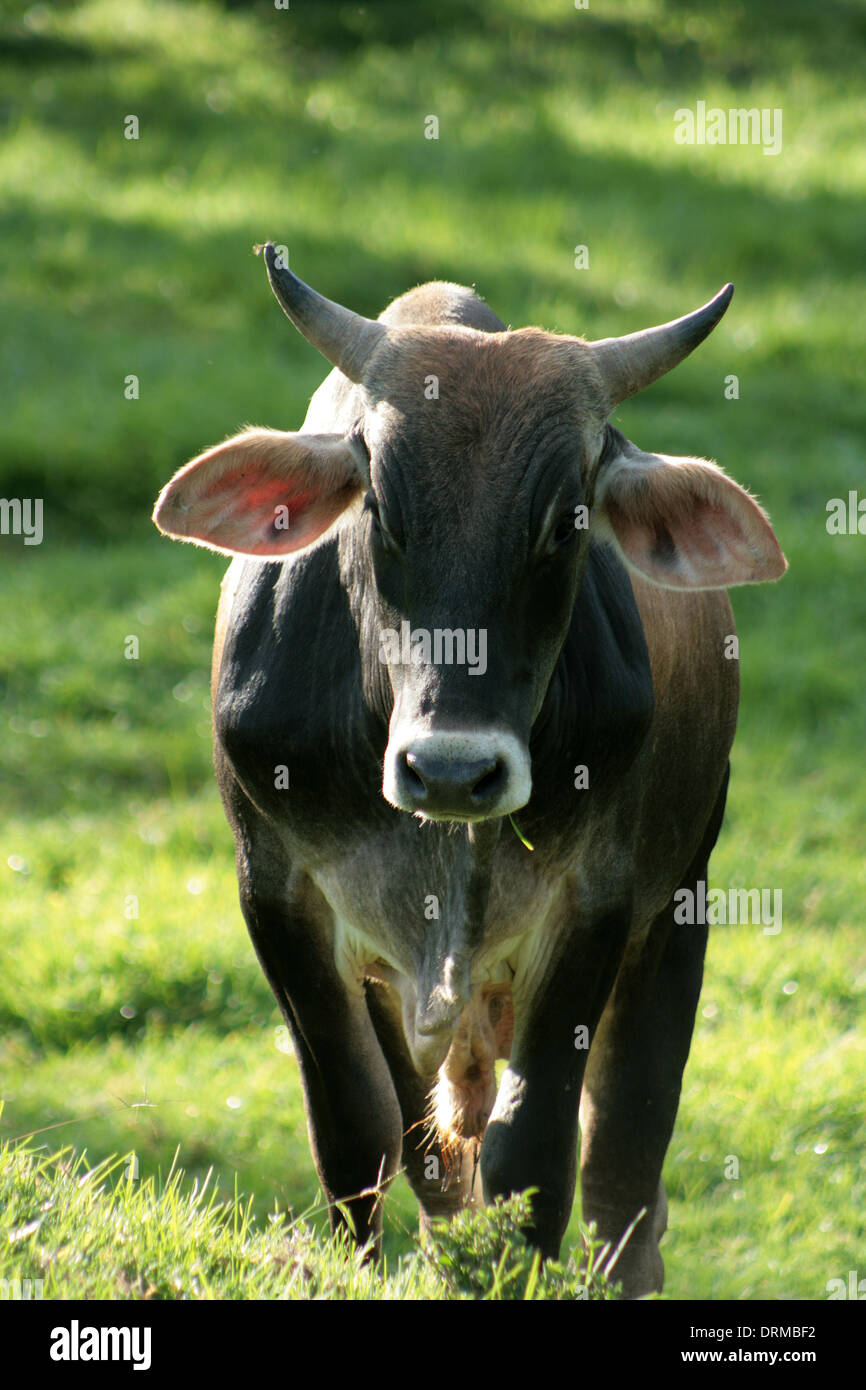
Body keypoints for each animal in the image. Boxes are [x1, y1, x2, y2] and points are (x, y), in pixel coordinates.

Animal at [153, 246, 786, 1297]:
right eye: (378, 502)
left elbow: (534, 1162)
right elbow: (358, 1140)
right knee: (441, 1164)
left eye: (569, 518)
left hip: (676, 917)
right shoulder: (279, 897)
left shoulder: (594, 904)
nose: (451, 771)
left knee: (623, 1175)